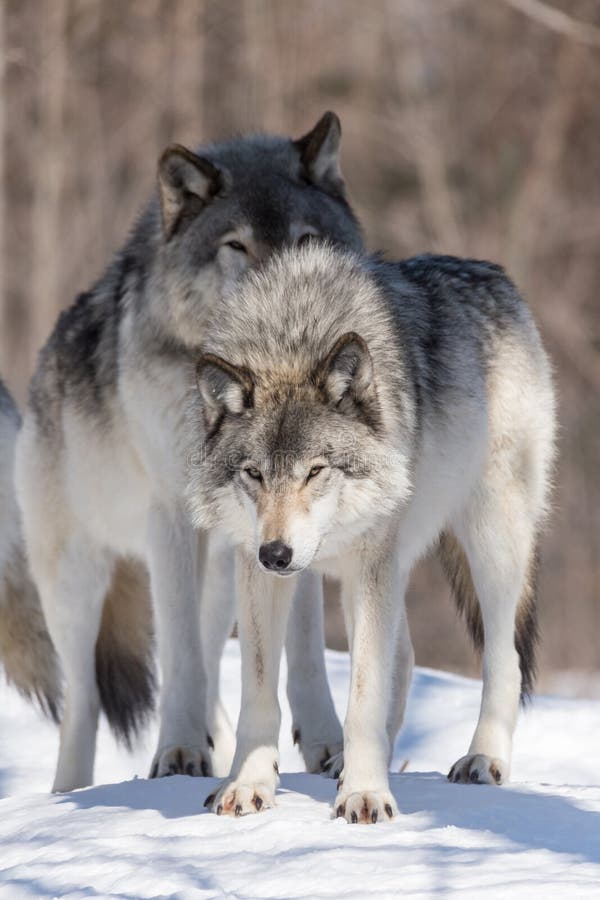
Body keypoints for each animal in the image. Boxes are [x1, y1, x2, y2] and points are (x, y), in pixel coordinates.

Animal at [15, 113, 361, 792]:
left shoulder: (298, 517)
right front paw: (176, 752)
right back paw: (73, 789)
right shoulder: (170, 514)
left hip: (223, 569)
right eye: (237, 246)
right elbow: (175, 651)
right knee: (84, 701)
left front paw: (326, 745)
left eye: (306, 241)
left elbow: (303, 647)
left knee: (208, 665)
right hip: (76, 583)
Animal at [190, 245, 556, 823]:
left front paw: (364, 794)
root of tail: (491, 271)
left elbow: (363, 693)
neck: (294, 333)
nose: (277, 553)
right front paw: (248, 784)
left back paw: (482, 758)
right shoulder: (258, 571)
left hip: (491, 538)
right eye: (254, 474)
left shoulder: (370, 562)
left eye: (315, 471)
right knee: (403, 658)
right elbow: (259, 692)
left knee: (505, 658)